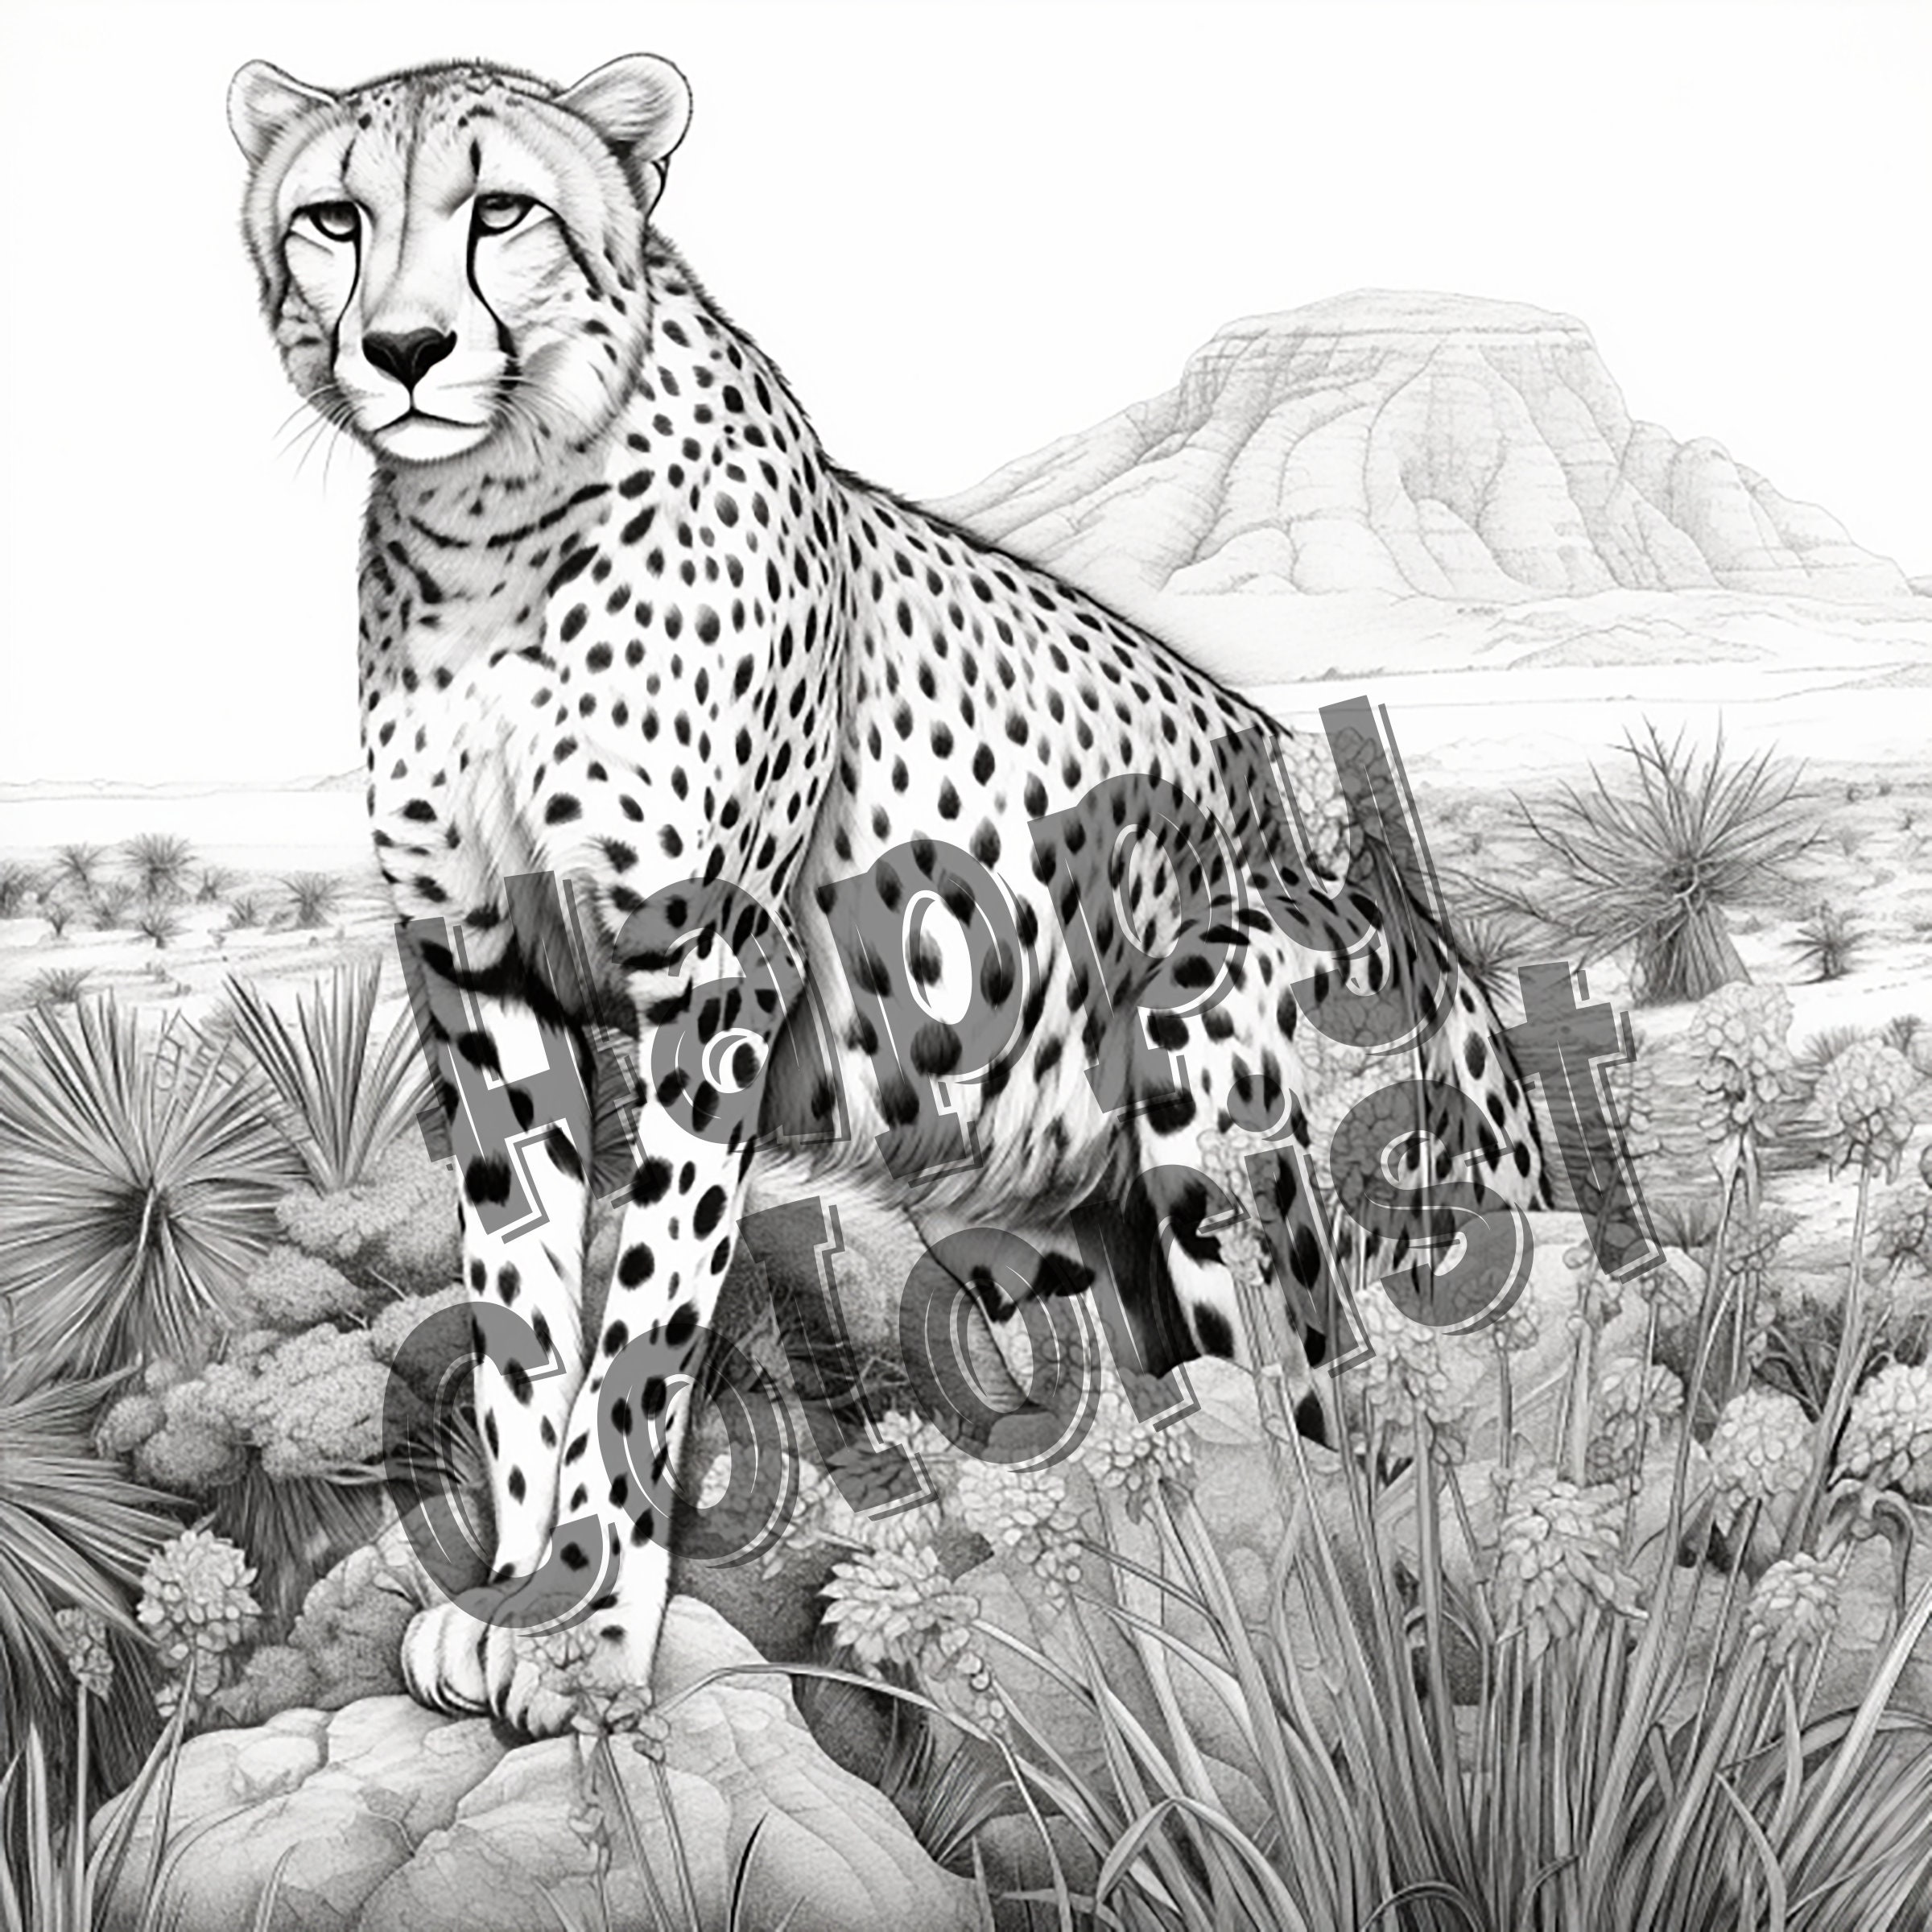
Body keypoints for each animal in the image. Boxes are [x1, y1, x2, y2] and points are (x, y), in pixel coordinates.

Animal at [229, 50, 1554, 1737]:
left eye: (504, 210)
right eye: (334, 216)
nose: (405, 350)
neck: (493, 529)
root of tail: (1425, 930)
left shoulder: (714, 974)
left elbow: (643, 1325)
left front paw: (589, 1632)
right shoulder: (479, 982)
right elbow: (520, 1316)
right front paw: (516, 1596)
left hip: (1221, 1089)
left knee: (1318, 1409)